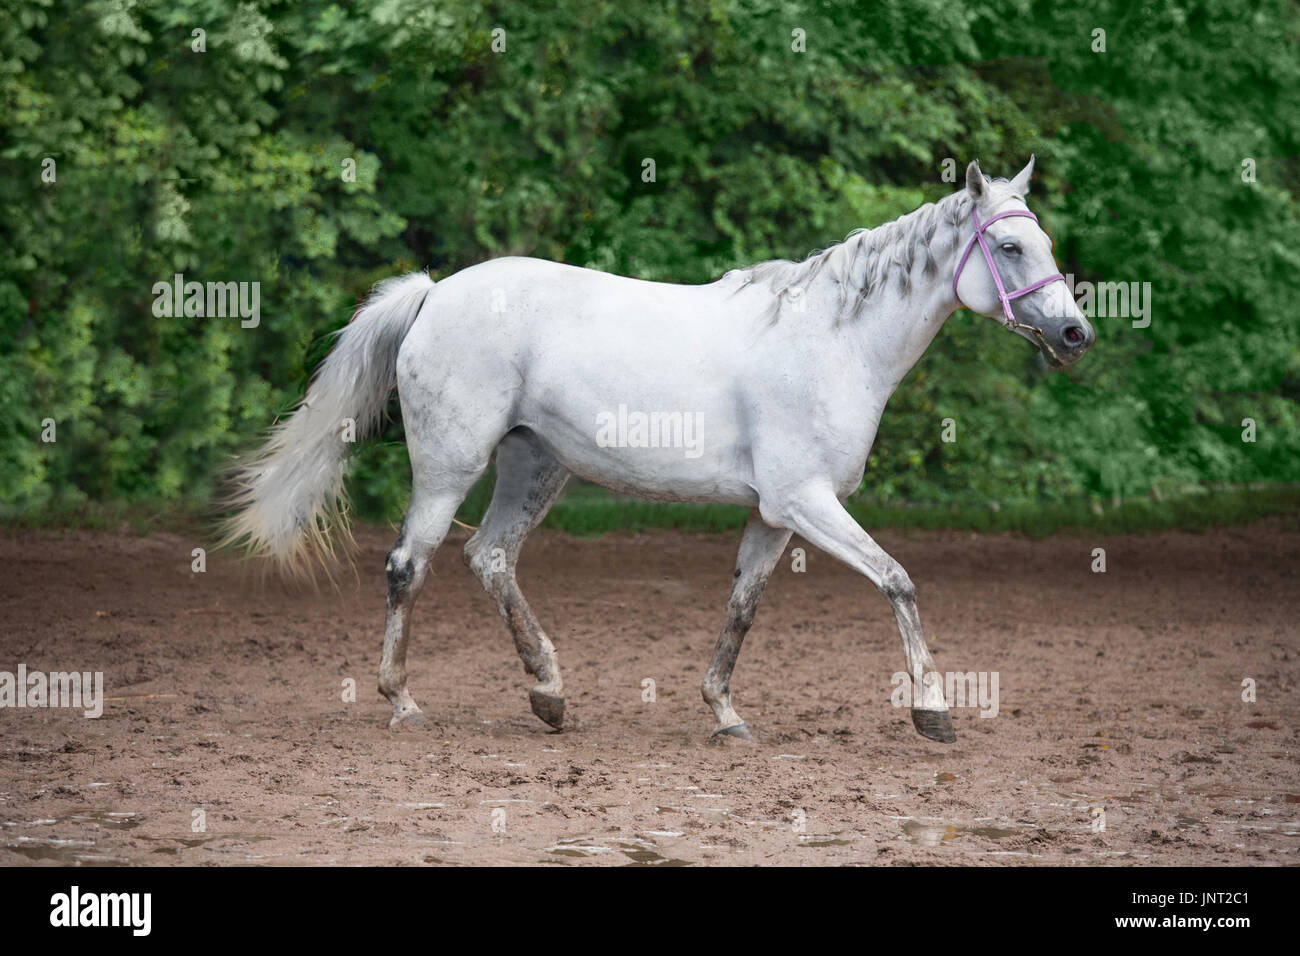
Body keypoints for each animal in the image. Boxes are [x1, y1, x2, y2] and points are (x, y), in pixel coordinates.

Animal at [221, 157, 1094, 744]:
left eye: (1045, 241)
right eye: (1010, 249)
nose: (1074, 334)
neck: (832, 341)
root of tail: (435, 292)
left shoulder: (774, 514)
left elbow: (742, 607)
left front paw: (725, 714)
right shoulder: (808, 502)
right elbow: (898, 582)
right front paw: (932, 711)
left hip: (536, 465)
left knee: (491, 559)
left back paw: (549, 694)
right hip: (449, 467)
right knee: (410, 565)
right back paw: (403, 701)